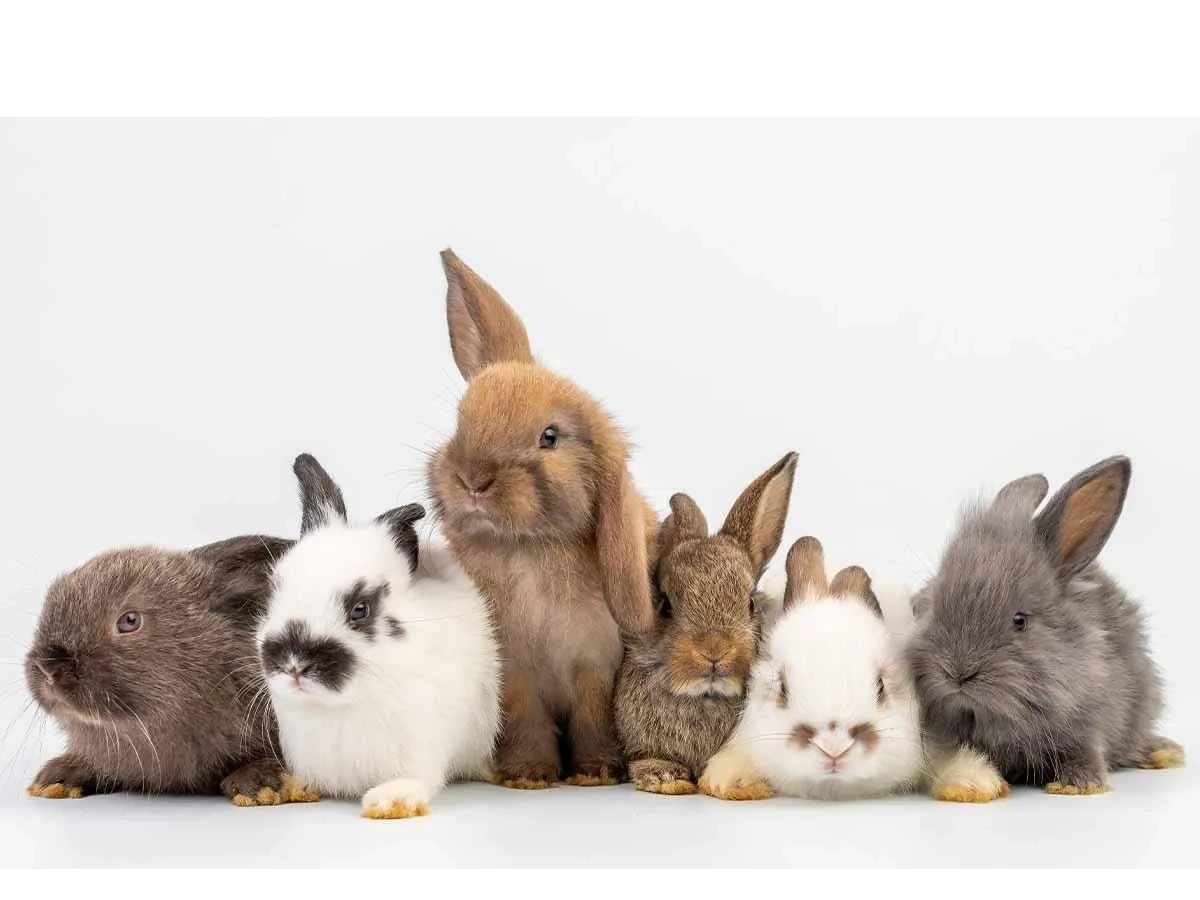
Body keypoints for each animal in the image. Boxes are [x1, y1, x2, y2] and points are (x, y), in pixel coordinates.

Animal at [258, 453, 502, 819]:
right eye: (274, 591)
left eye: (360, 609)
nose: (294, 663)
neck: (343, 705)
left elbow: (416, 778)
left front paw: (390, 801)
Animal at [426, 249, 659, 789]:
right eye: (461, 422)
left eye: (549, 437)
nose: (472, 480)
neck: (527, 547)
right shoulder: (515, 671)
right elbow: (526, 717)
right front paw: (527, 774)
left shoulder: (596, 663)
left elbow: (594, 715)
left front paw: (596, 771)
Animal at [908, 454, 1185, 803]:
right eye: (930, 604)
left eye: (1020, 621)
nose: (957, 673)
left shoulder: (1088, 723)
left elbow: (1084, 751)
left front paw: (1077, 785)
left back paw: (1162, 752)